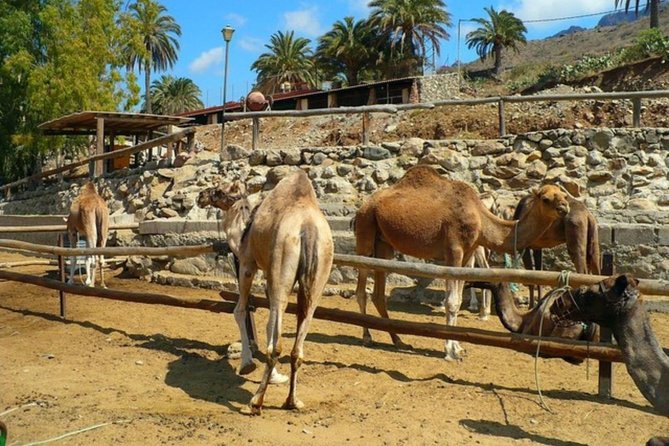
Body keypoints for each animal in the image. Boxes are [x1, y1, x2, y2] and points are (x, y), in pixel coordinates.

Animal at [197, 170, 334, 415]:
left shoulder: (248, 263)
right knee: (297, 348)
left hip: (282, 261)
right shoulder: (270, 275)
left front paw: (247, 364)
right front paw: (275, 377)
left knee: (276, 347)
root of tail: (308, 229)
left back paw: (256, 401)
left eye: (219, 190)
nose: (201, 196)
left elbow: (240, 310)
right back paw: (292, 401)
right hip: (319, 275)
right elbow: (270, 323)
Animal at [353, 164, 570, 360]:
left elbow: (456, 301)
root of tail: (363, 206)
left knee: (378, 294)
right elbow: (451, 301)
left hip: (384, 244)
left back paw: (398, 339)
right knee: (361, 290)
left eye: (563, 195)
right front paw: (450, 351)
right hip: (365, 231)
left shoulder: (467, 253)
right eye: (546, 199)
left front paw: (457, 347)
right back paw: (367, 337)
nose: (564, 208)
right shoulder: (454, 250)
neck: (481, 217)